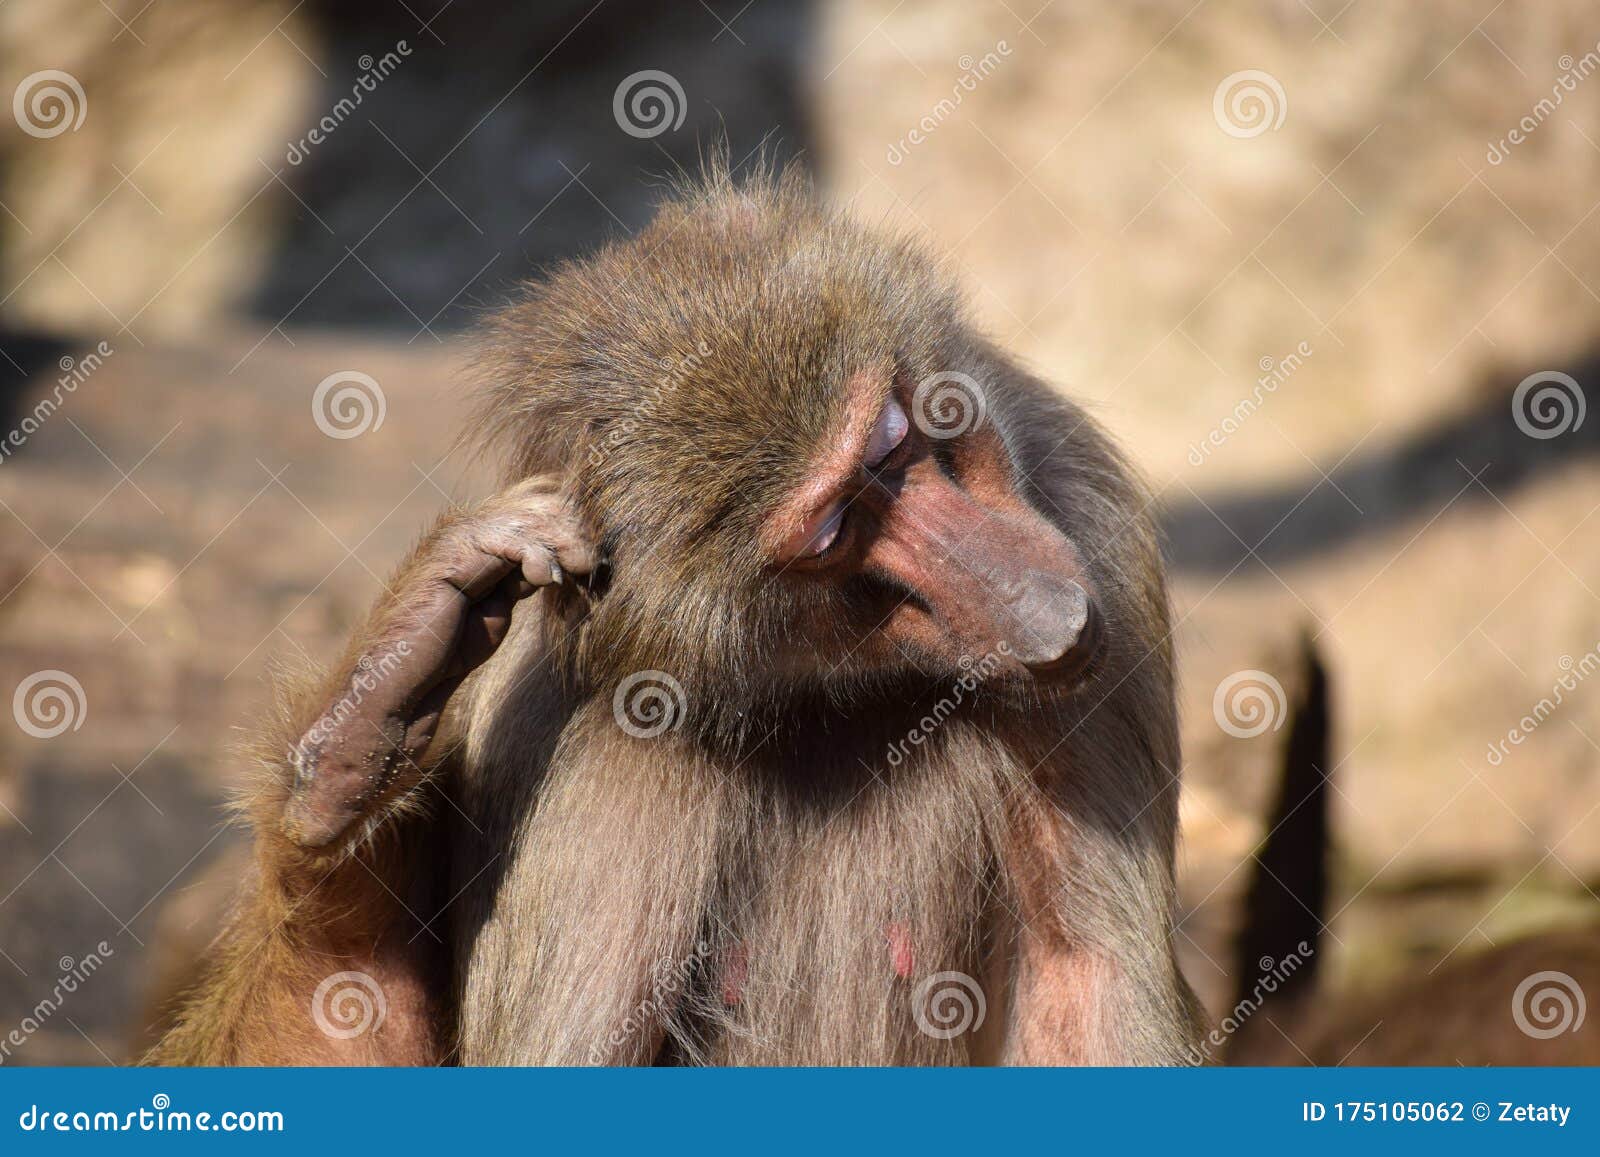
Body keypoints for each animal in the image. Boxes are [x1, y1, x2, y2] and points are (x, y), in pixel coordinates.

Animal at [147, 165, 1205, 1066]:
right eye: (831, 533)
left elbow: (1087, 991)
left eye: (895, 442)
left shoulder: (1087, 522)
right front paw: (381, 702)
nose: (1050, 615)